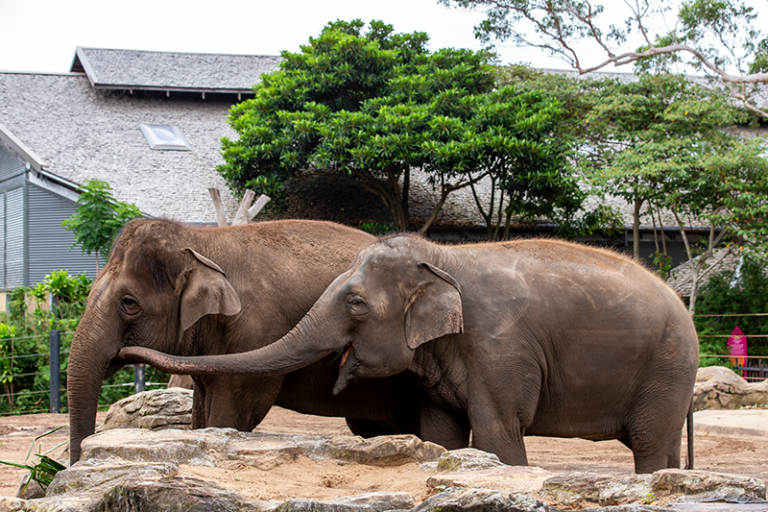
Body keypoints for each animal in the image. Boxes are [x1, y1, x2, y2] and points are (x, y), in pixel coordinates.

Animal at [68, 219, 461, 465]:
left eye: (128, 303)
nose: (69, 467)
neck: (202, 240)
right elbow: (201, 412)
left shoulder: (256, 330)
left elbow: (232, 416)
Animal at [121, 234, 699, 474]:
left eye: (355, 303)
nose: (127, 344)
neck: (443, 259)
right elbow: (442, 436)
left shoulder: (499, 348)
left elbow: (498, 435)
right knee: (663, 447)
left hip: (668, 368)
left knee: (648, 445)